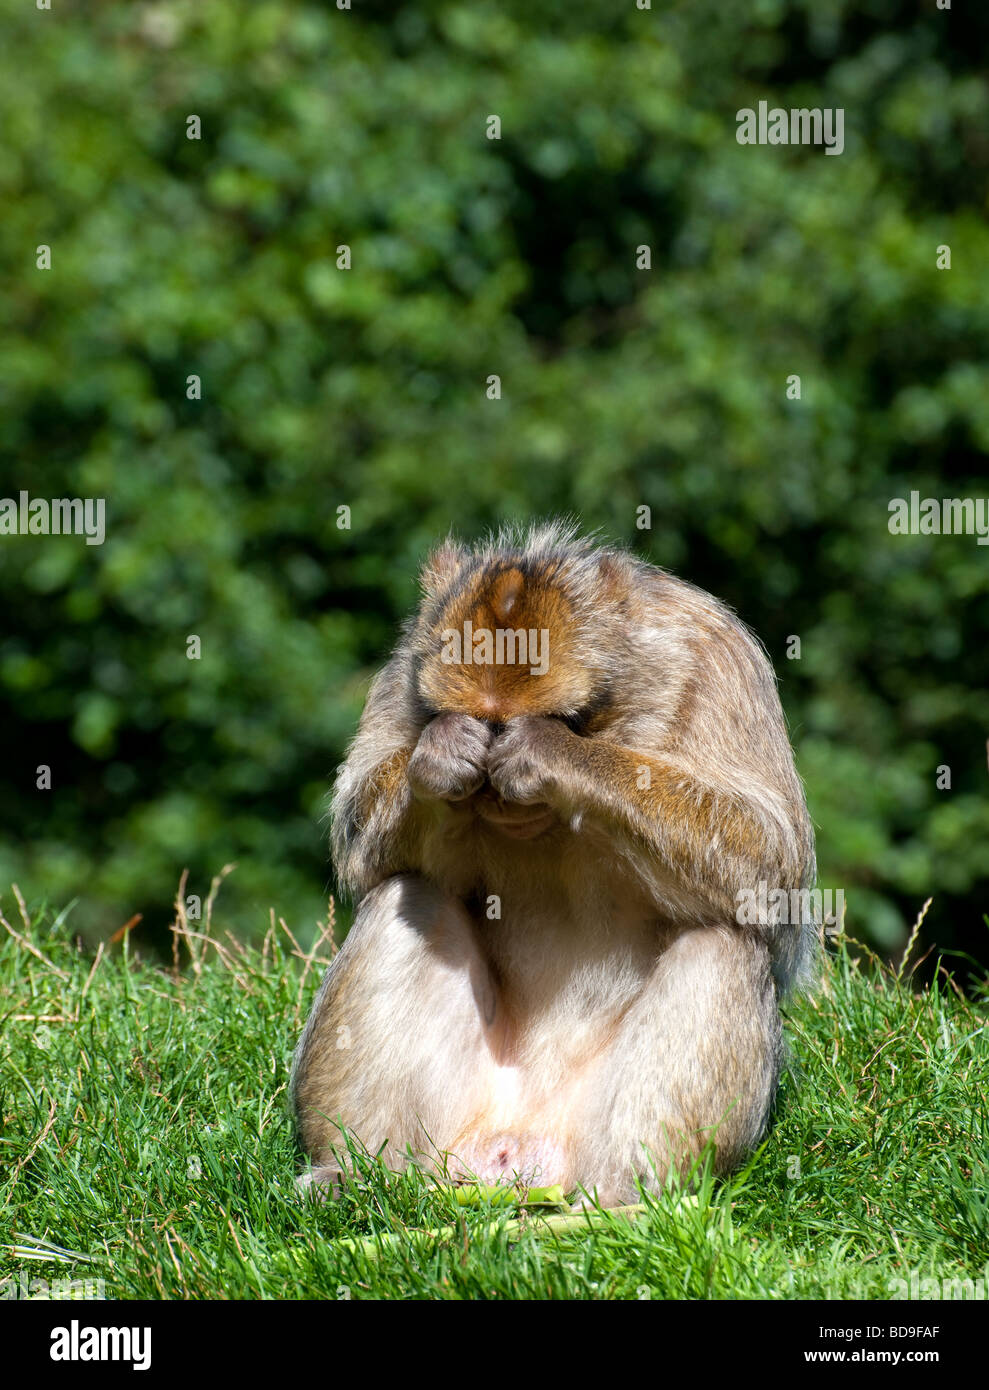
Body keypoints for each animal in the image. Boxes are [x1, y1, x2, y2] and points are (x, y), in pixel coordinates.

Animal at [291, 521, 817, 1207]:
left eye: (562, 720)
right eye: (468, 719)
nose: (494, 793)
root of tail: (519, 1160)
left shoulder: (715, 660)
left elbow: (772, 862)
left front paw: (553, 755)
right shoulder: (402, 668)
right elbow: (357, 844)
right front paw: (442, 753)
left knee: (723, 940)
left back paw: (632, 1207)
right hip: (455, 1130)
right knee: (407, 897)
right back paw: (348, 1174)